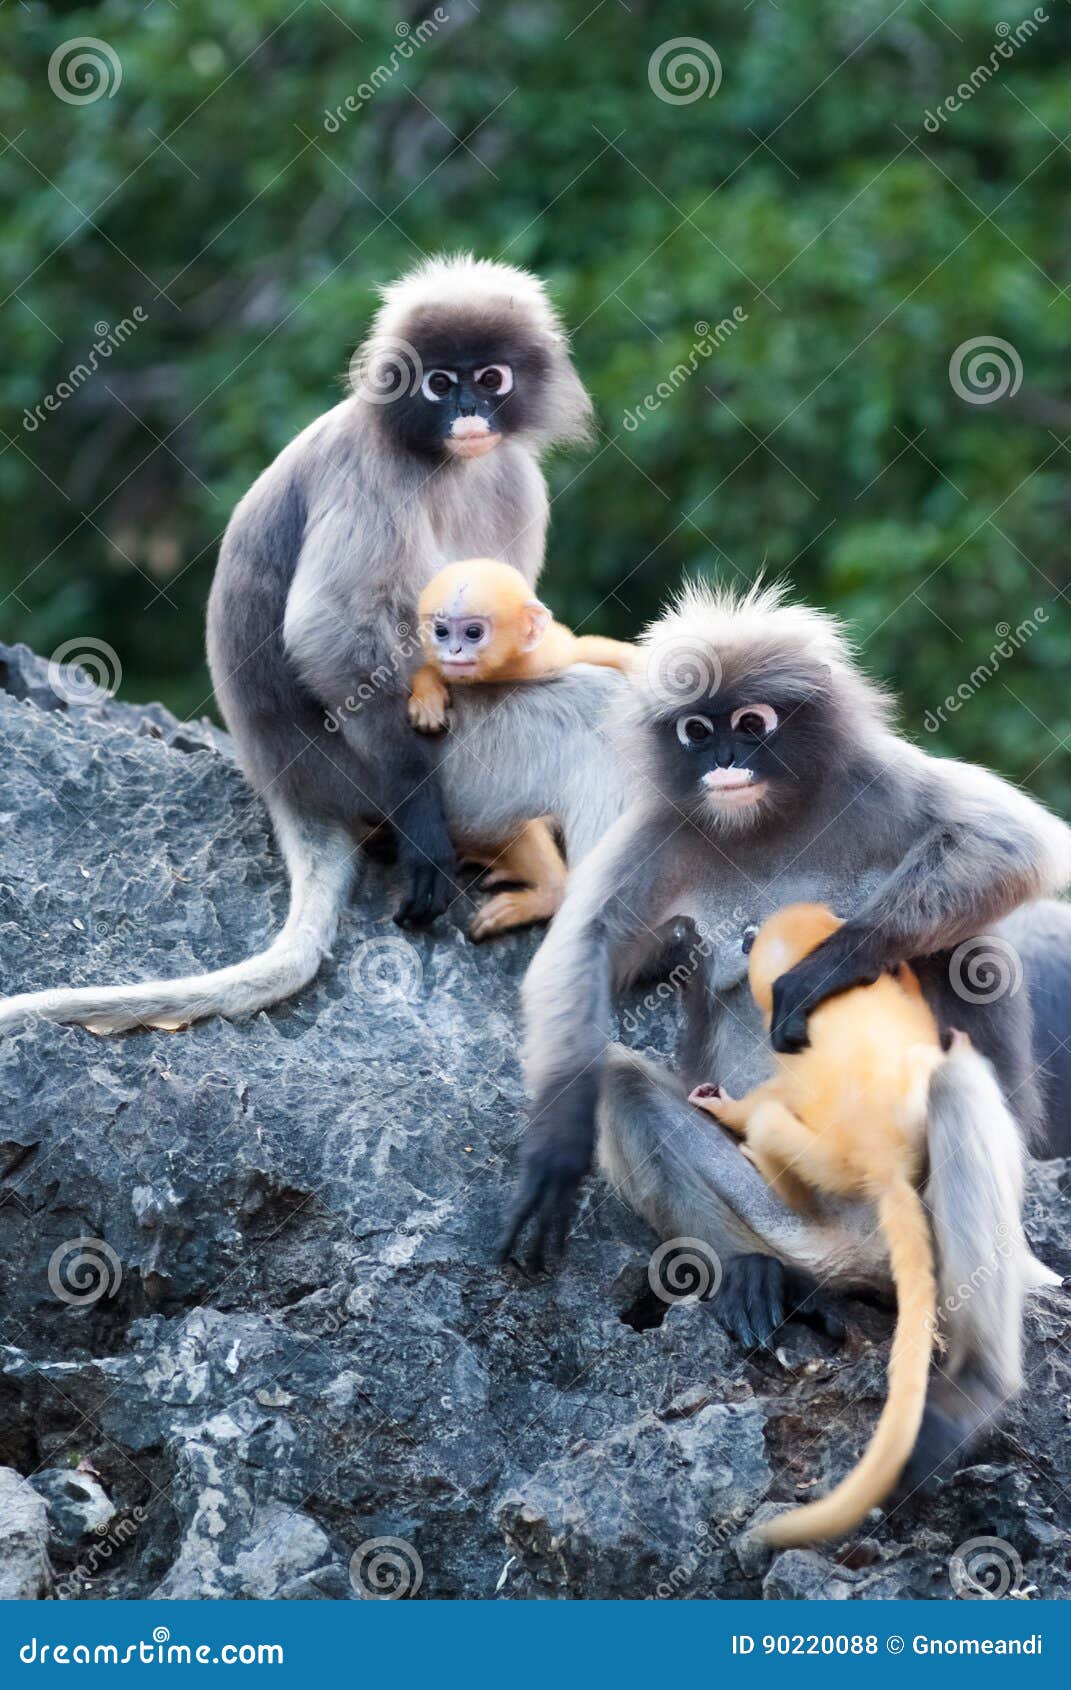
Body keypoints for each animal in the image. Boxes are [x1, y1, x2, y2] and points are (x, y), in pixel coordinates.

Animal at [0, 254, 593, 1035]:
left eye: (489, 378)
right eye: (439, 382)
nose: (469, 410)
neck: (443, 457)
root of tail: (286, 781)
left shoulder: (513, 476)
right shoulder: (369, 467)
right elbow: (328, 629)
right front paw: (423, 826)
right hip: (377, 772)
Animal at [406, 556, 636, 940]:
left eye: (473, 633)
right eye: (441, 631)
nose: (453, 650)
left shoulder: (552, 653)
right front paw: (427, 696)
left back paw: (550, 893)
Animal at [689, 902, 1033, 1544]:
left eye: (755, 938)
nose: (746, 932)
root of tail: (884, 1160)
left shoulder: (782, 1041)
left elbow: (765, 1090)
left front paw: (721, 1105)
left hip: (822, 1156)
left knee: (772, 1124)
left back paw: (764, 1164)